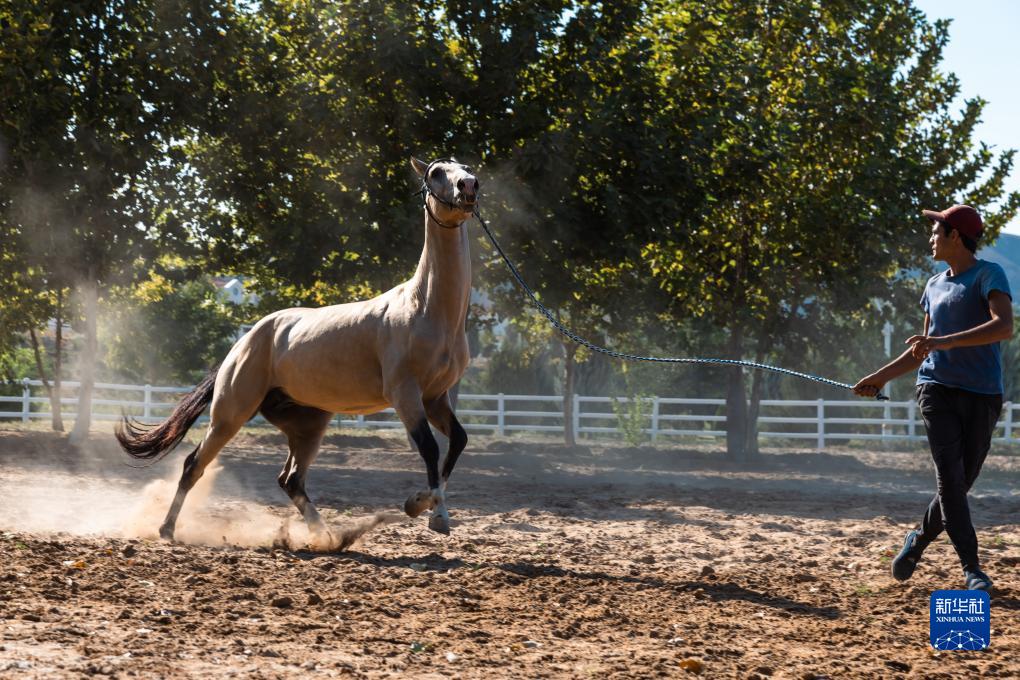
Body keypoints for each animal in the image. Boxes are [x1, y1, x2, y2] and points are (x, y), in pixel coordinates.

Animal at [116, 157, 478, 541]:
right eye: (436, 172)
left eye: (465, 166)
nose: (468, 186)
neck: (425, 307)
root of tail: (243, 342)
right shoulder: (405, 394)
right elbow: (429, 447)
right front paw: (428, 510)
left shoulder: (435, 397)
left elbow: (457, 441)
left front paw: (429, 509)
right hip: (230, 414)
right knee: (193, 465)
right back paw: (167, 528)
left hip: (308, 425)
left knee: (290, 480)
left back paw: (327, 537)